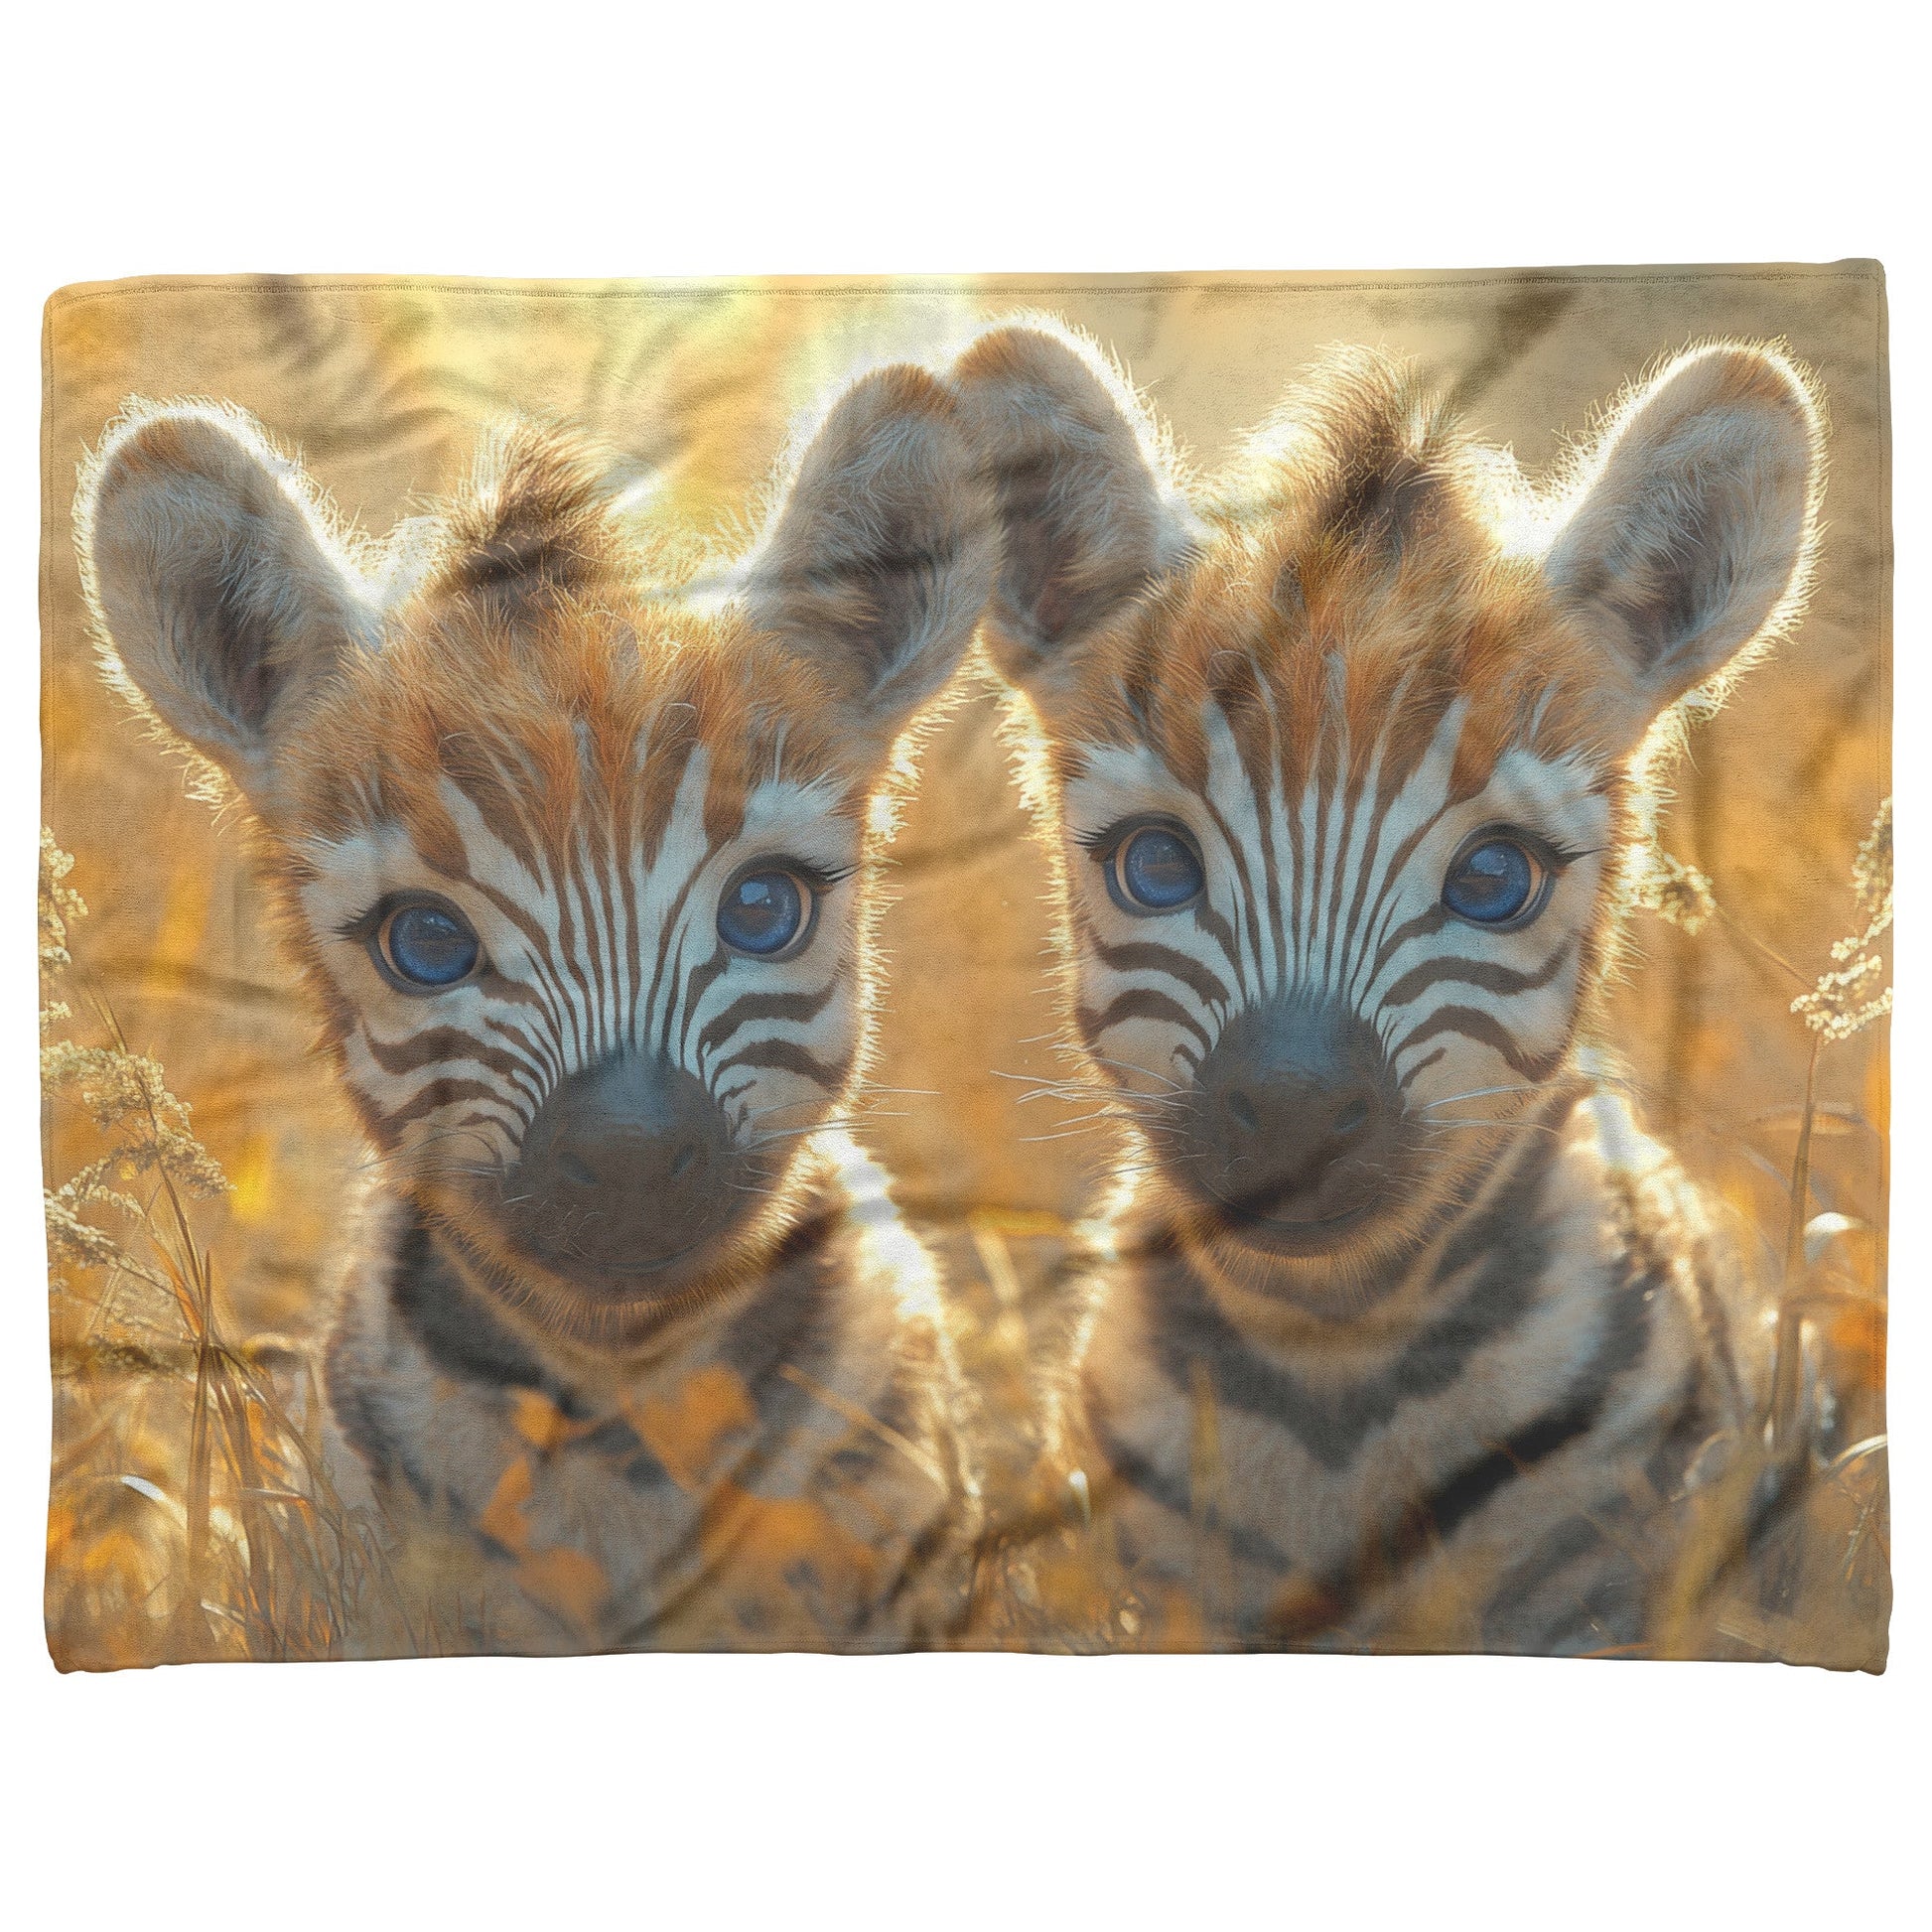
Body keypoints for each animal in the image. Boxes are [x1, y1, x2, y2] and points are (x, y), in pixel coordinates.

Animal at [953, 320, 1824, 1654]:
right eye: (1154, 864)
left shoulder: (1606, 1603)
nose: (1294, 1119)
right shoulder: (1129, 1602)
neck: (1332, 1355)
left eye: (1495, 878)